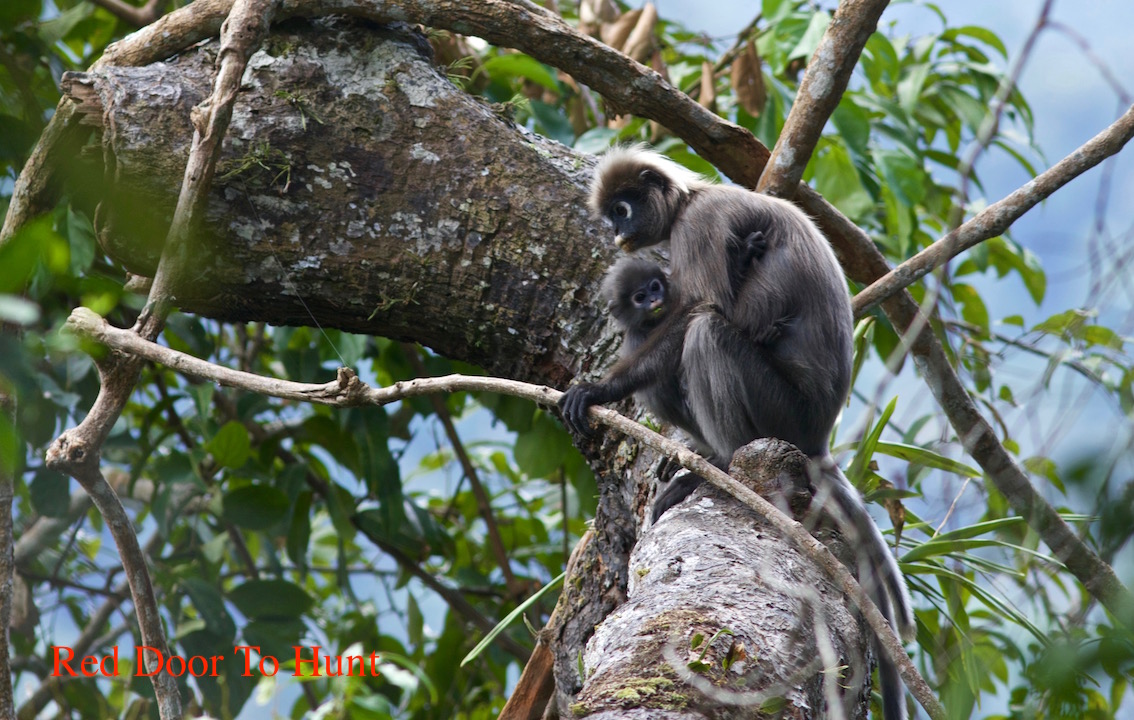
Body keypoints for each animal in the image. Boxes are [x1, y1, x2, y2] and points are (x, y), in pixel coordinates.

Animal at [559, 145, 914, 720]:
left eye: (621, 210)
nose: (615, 233)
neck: (690, 200)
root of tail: (816, 439)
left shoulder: (699, 228)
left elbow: (705, 308)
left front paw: (598, 390)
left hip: (781, 411)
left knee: (705, 331)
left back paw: (721, 468)